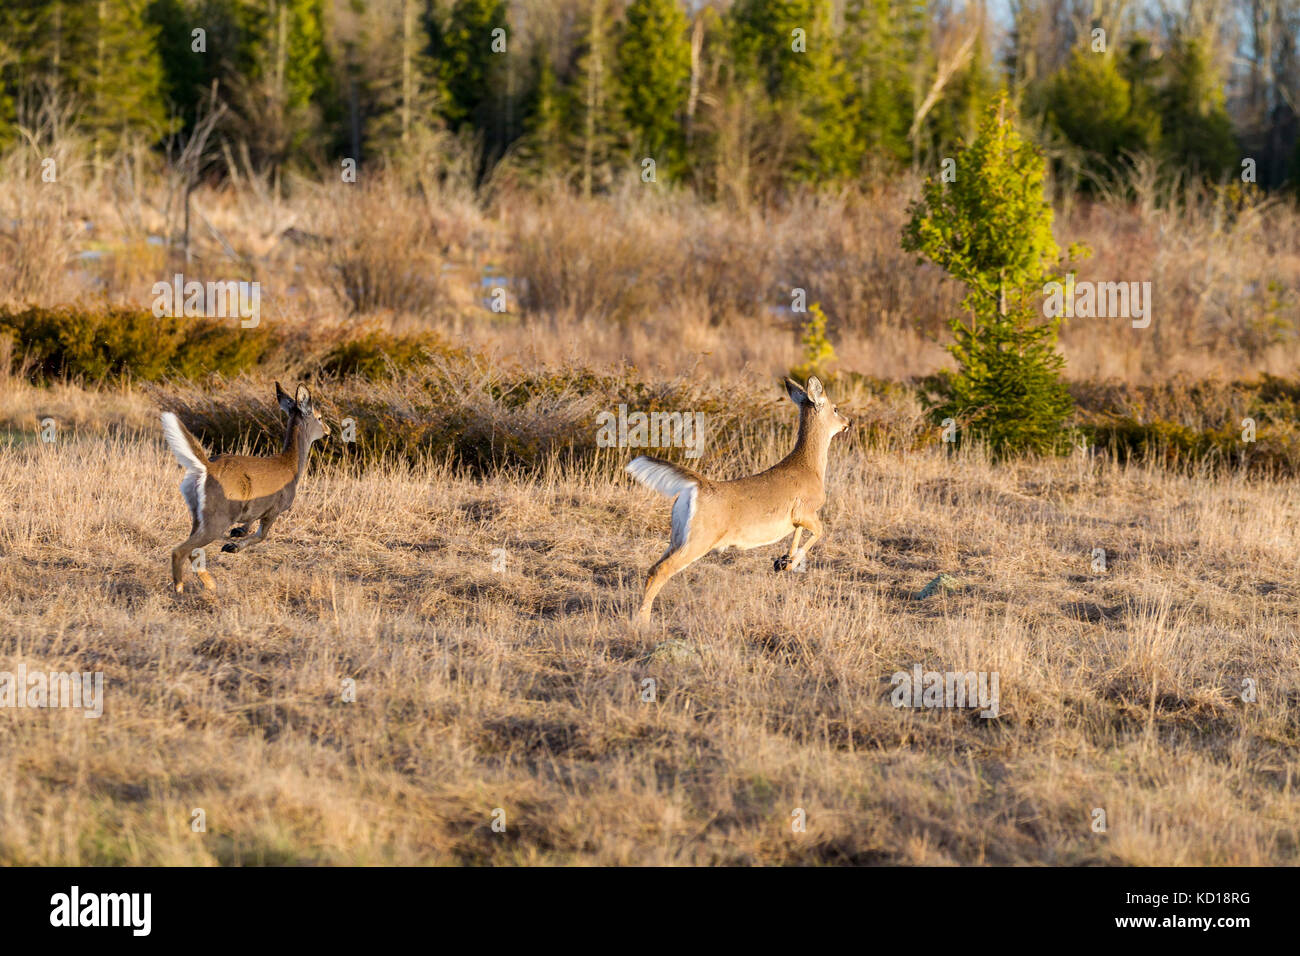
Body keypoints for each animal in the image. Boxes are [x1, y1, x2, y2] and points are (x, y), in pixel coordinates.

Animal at [160, 383, 330, 593]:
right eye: (319, 417)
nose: (329, 430)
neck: (290, 466)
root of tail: (207, 467)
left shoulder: (257, 507)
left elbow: (249, 523)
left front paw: (238, 533)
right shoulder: (275, 508)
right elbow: (262, 535)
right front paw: (232, 547)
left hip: (198, 514)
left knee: (192, 550)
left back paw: (210, 584)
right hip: (219, 516)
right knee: (180, 551)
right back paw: (180, 589)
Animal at [625, 375, 851, 623]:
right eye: (835, 408)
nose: (848, 422)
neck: (810, 468)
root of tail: (698, 486)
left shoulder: (798, 517)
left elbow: (799, 533)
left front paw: (784, 562)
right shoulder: (805, 509)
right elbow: (820, 531)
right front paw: (788, 564)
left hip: (677, 536)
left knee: (651, 568)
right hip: (699, 539)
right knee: (661, 570)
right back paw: (642, 622)